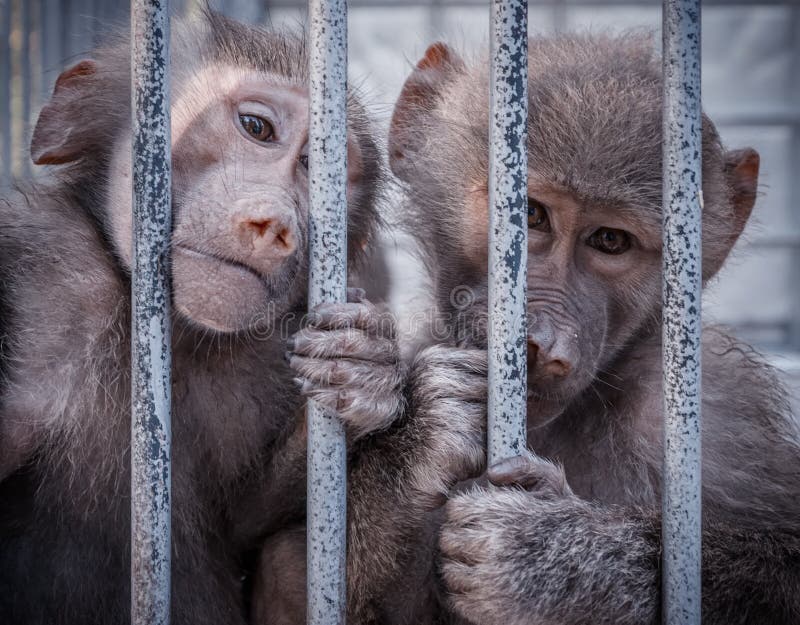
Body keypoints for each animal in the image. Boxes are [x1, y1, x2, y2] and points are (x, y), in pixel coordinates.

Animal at [0, 12, 404, 625]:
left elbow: (250, 522)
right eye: (257, 128)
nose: (274, 224)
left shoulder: (271, 355)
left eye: (319, 167)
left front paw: (366, 370)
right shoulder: (51, 282)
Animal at [260, 32, 800, 625]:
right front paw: (411, 428)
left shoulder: (717, 413)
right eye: (532, 215)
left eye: (610, 241)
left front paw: (563, 563)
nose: (537, 344)